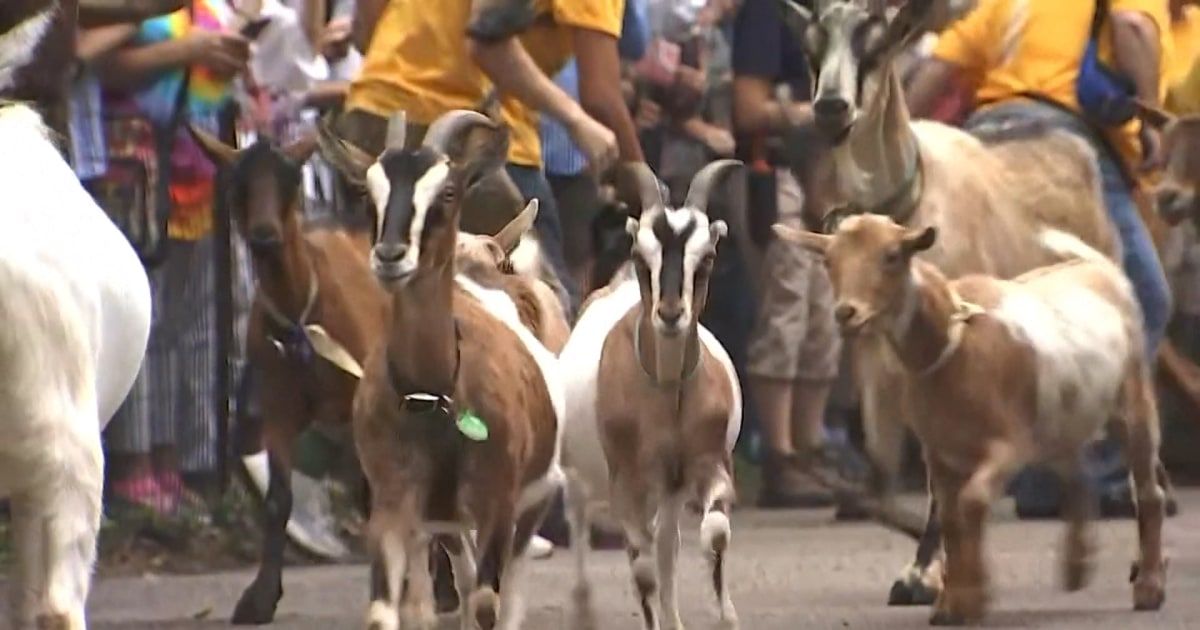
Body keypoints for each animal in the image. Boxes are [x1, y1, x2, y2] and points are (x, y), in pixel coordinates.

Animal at [350, 110, 563, 630]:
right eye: (368, 192)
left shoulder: (500, 500)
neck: (435, 395)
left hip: (533, 496)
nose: (390, 256)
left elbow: (488, 602)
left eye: (447, 192)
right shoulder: (395, 500)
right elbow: (383, 611)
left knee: (508, 587)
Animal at [560, 160, 744, 630]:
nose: (671, 314)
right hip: (579, 475)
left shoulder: (709, 465)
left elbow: (714, 535)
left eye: (707, 257)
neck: (666, 392)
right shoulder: (626, 484)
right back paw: (582, 607)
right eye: (641, 256)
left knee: (667, 546)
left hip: (670, 488)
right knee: (579, 524)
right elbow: (641, 571)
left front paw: (726, 617)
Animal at [776, 214, 1167, 624]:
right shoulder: (939, 453)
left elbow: (972, 503)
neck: (956, 337)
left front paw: (975, 597)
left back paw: (1149, 586)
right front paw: (951, 603)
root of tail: (1098, 266)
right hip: (1061, 417)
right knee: (1076, 474)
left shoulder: (1008, 445)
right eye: (828, 260)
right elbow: (950, 520)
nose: (846, 313)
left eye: (892, 256)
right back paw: (1076, 566)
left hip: (1134, 404)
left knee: (1149, 494)